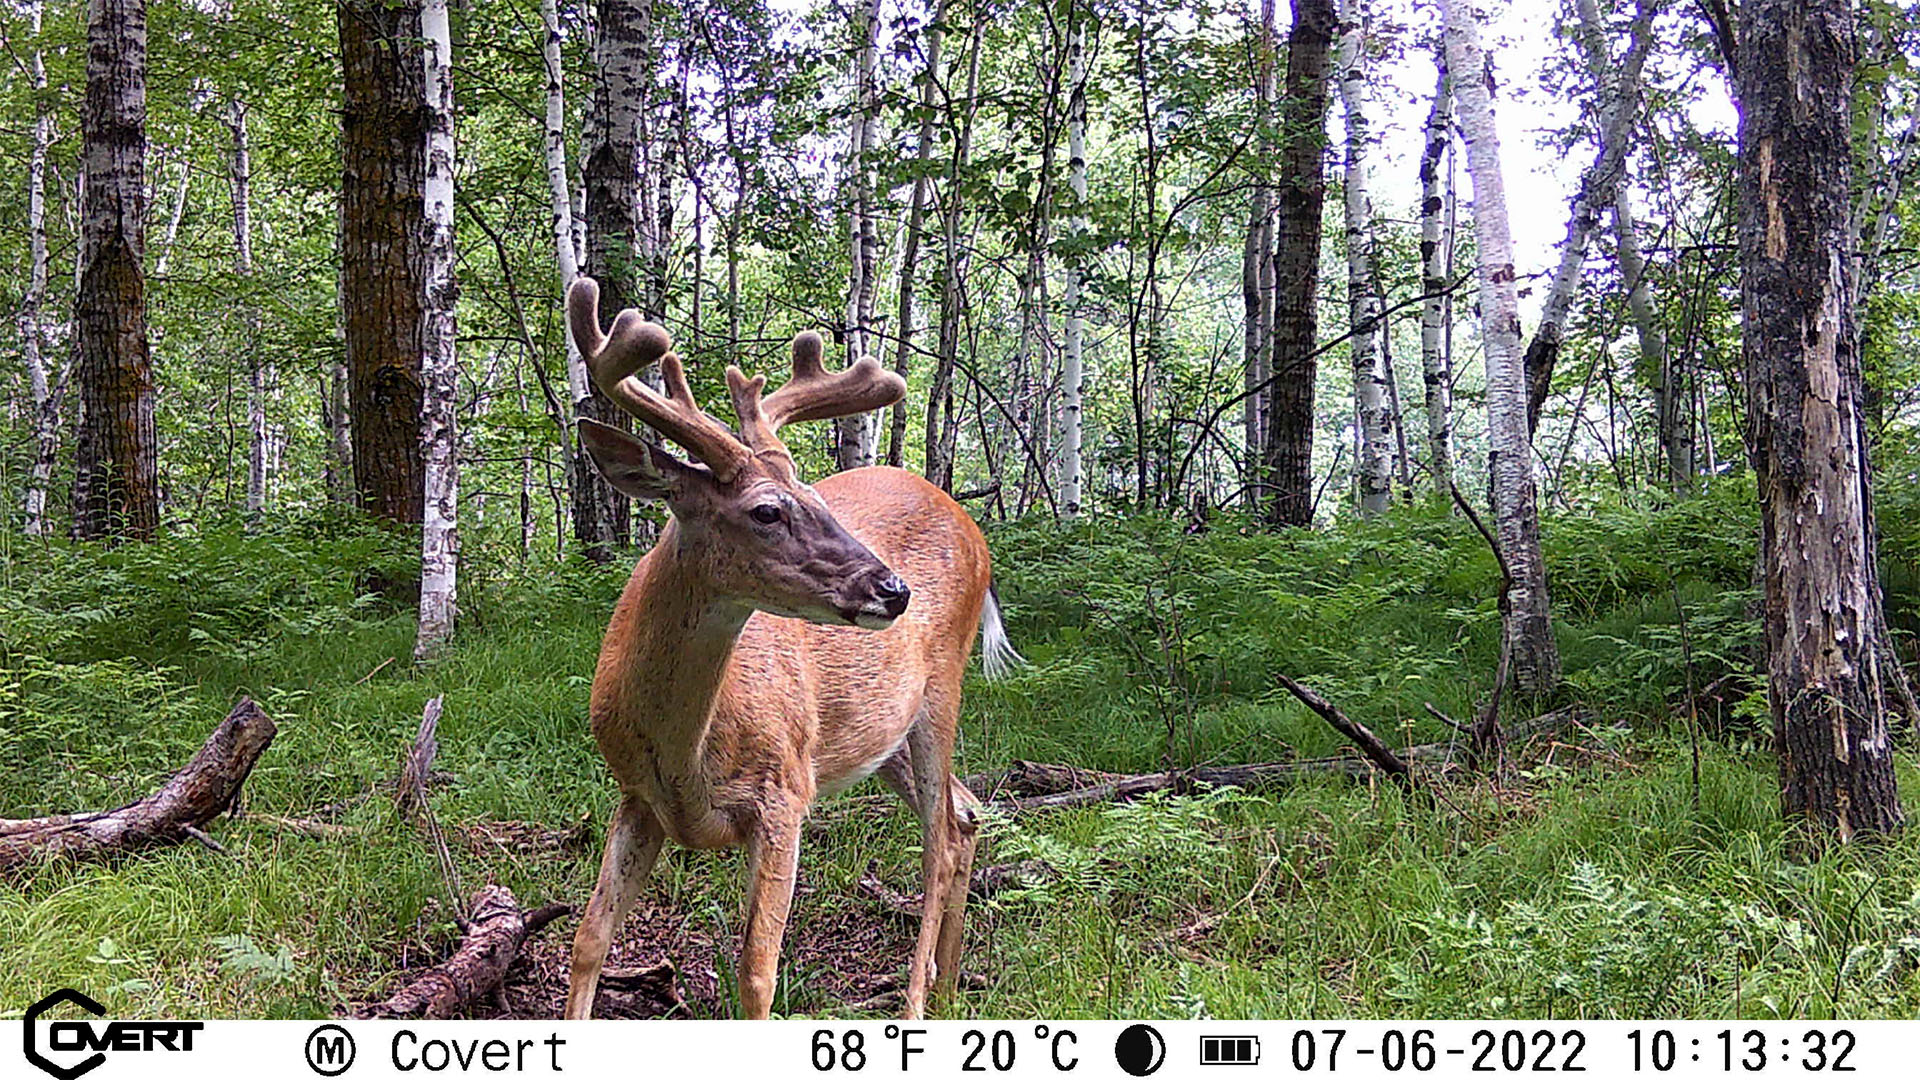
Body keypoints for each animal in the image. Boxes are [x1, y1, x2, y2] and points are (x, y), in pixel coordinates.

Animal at [560, 277, 1019, 1021]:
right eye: (767, 510)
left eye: (813, 492)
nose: (894, 588)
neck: (682, 748)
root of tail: (973, 527)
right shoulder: (635, 795)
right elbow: (590, 936)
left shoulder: (784, 791)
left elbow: (756, 969)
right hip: (878, 732)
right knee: (966, 810)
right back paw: (950, 987)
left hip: (941, 691)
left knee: (940, 840)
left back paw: (917, 1002)